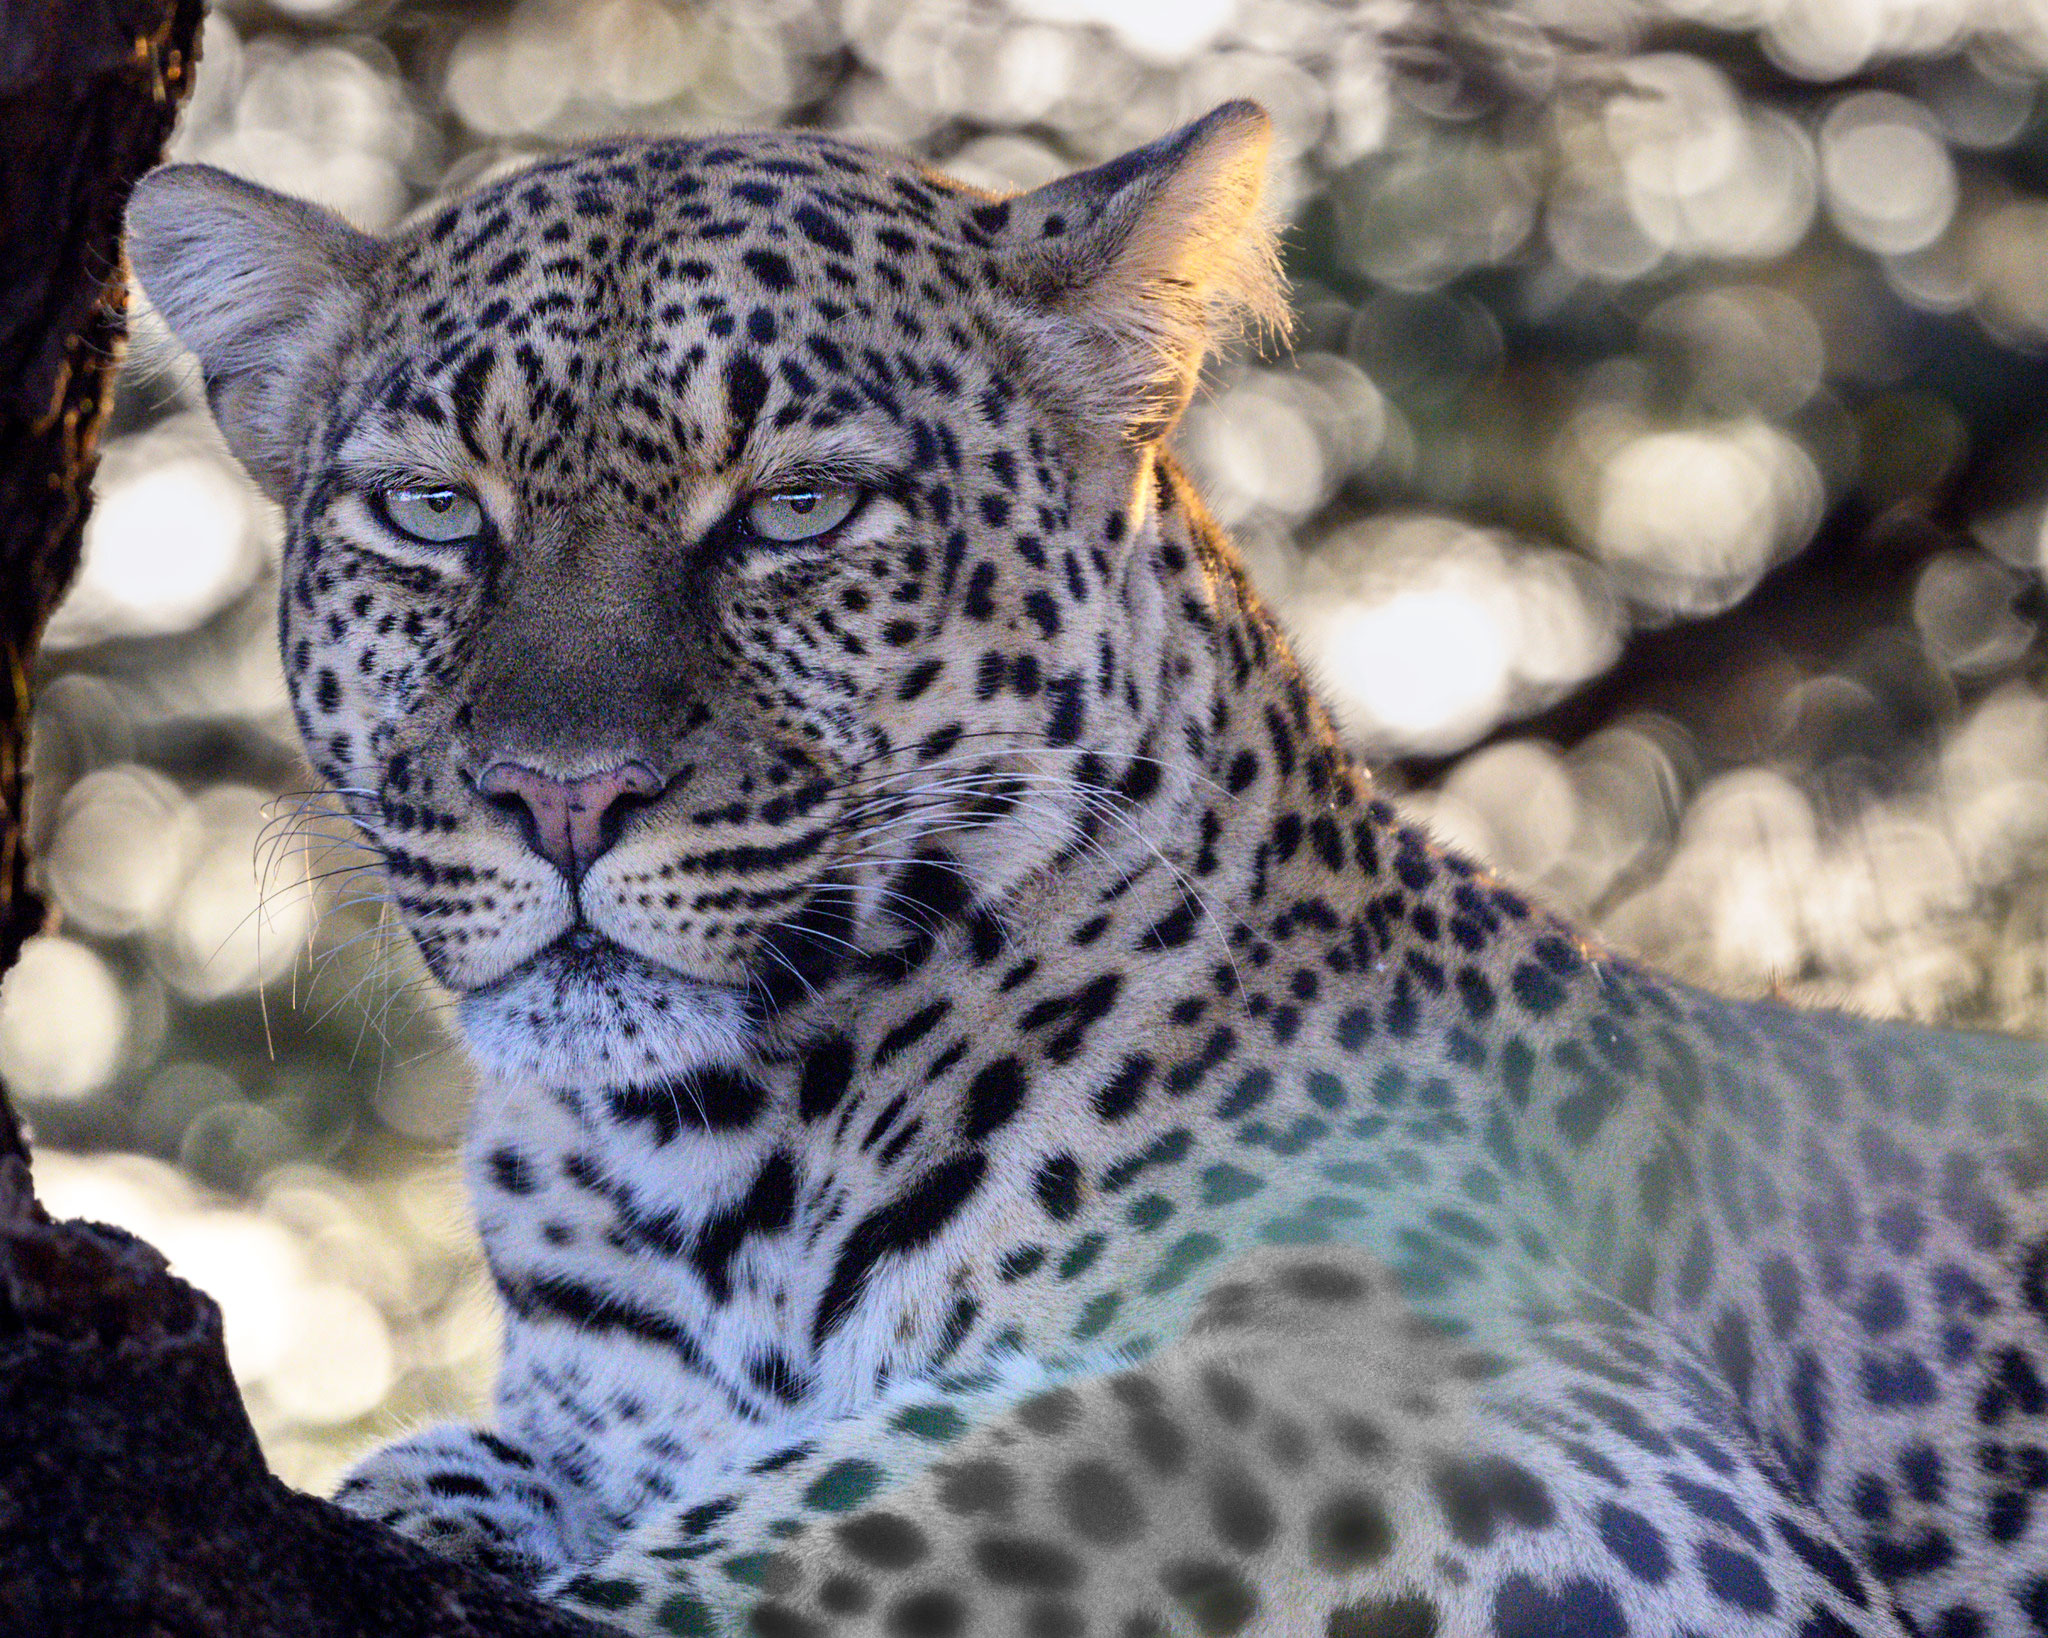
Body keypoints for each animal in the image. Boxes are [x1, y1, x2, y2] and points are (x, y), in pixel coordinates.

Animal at [124, 101, 2048, 1637]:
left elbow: (987, 1470)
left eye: (800, 508)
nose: (561, 796)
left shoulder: (1583, 1437)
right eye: (434, 510)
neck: (706, 1168)